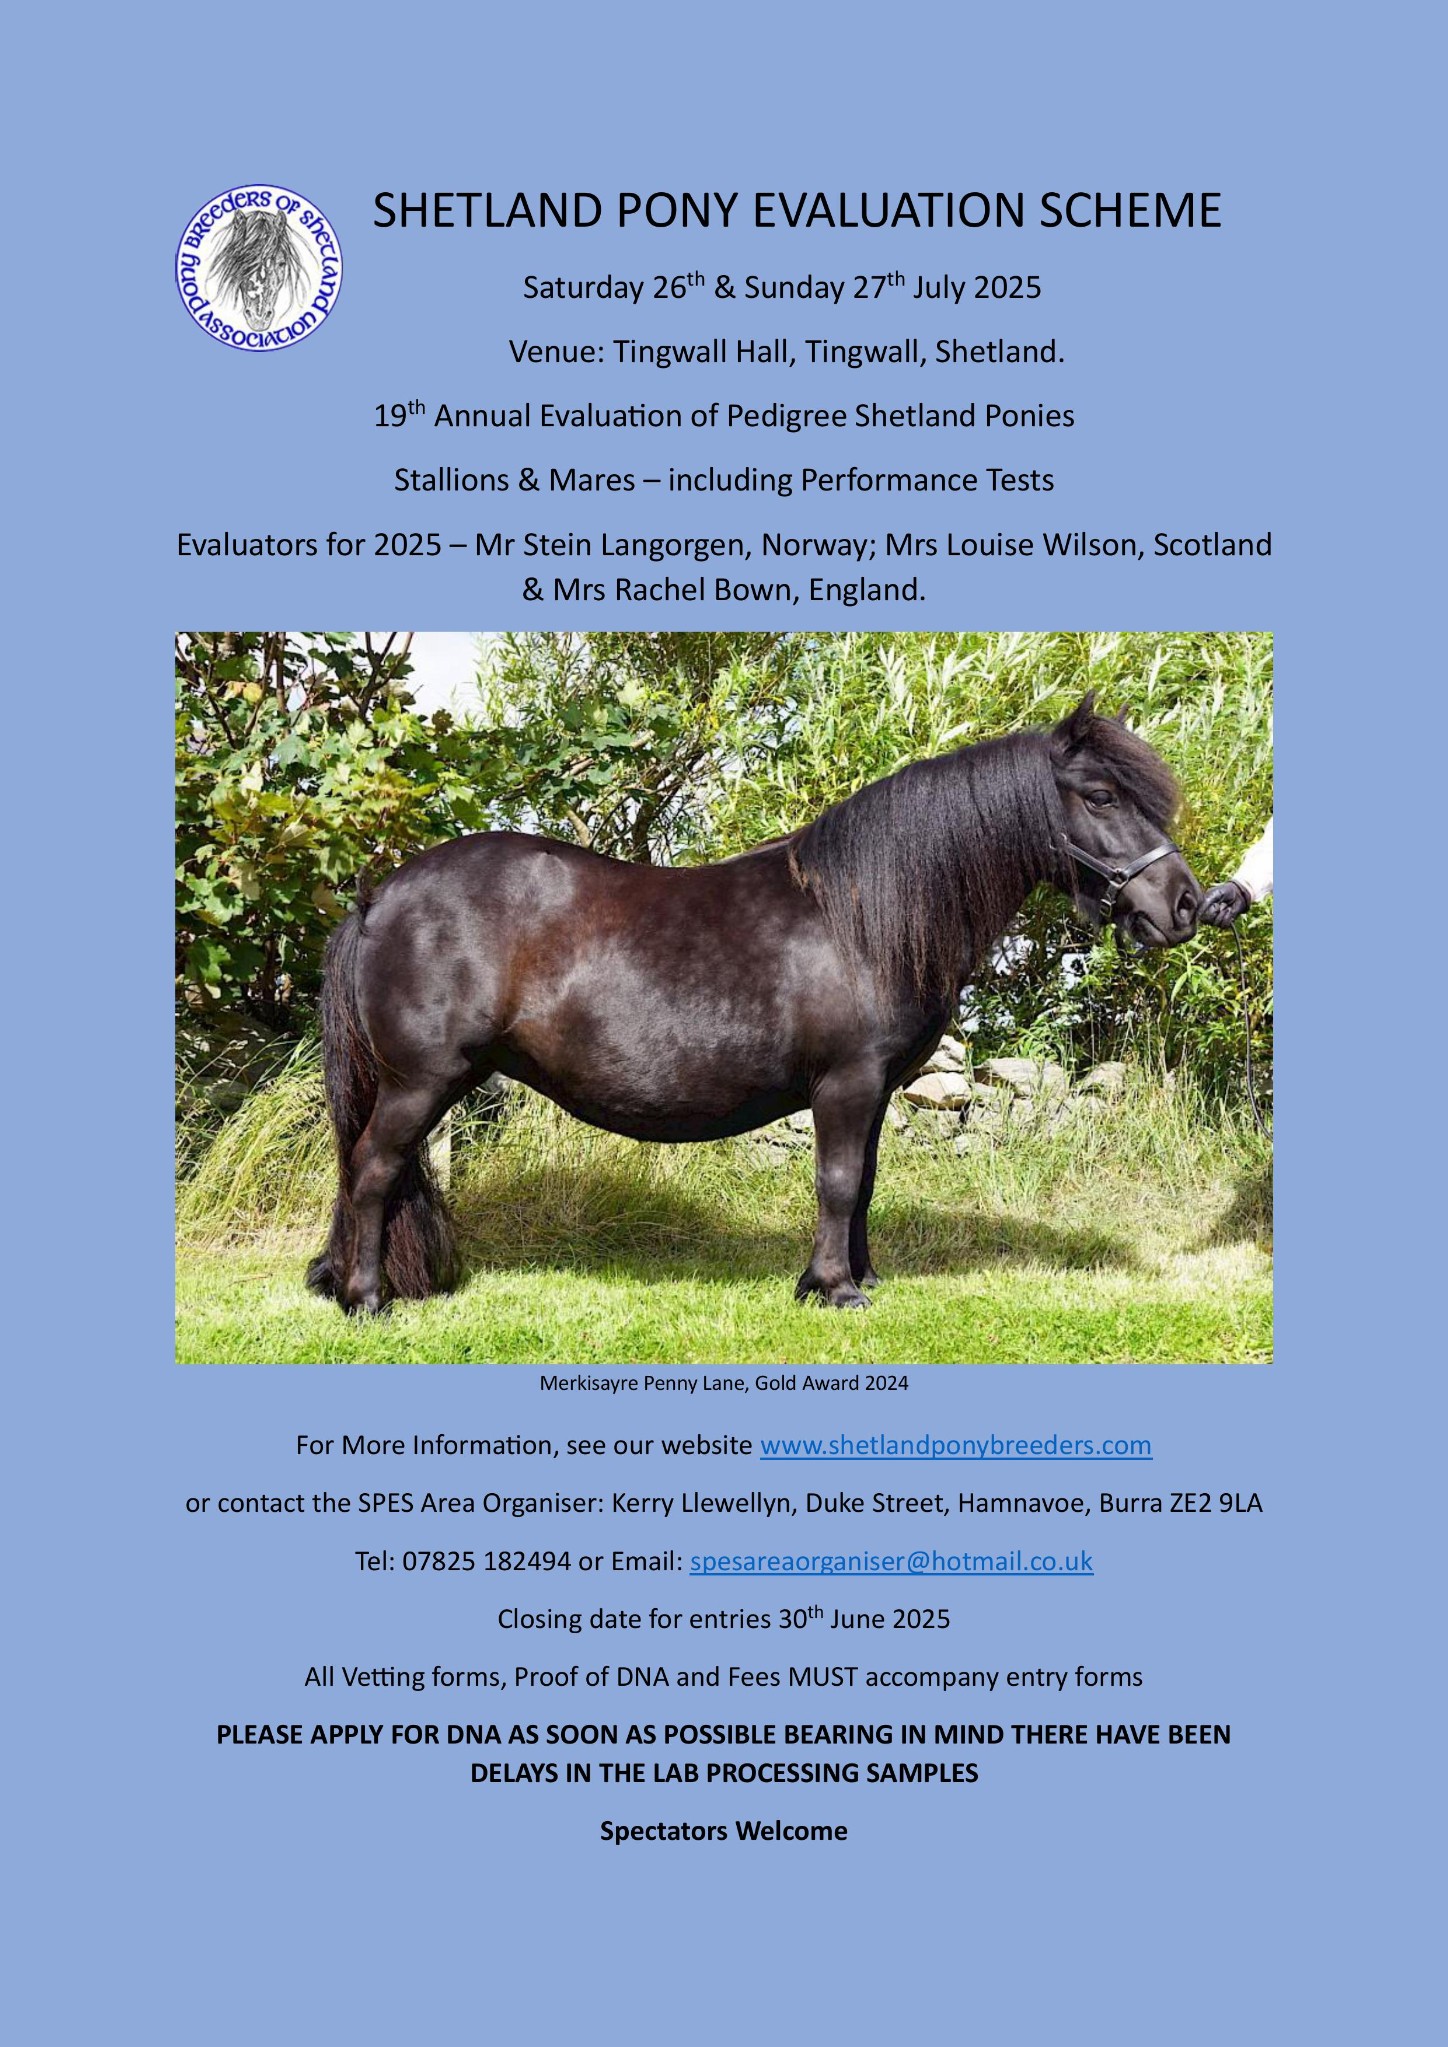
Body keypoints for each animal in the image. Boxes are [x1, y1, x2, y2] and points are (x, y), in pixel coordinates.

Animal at [306, 693, 1201, 1315]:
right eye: (1101, 796)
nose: (1186, 904)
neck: (863, 913)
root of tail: (380, 897)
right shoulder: (845, 1081)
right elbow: (836, 1180)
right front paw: (836, 1289)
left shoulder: (877, 1089)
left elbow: (864, 1180)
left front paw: (855, 1274)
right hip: (422, 1081)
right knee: (372, 1170)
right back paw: (366, 1298)